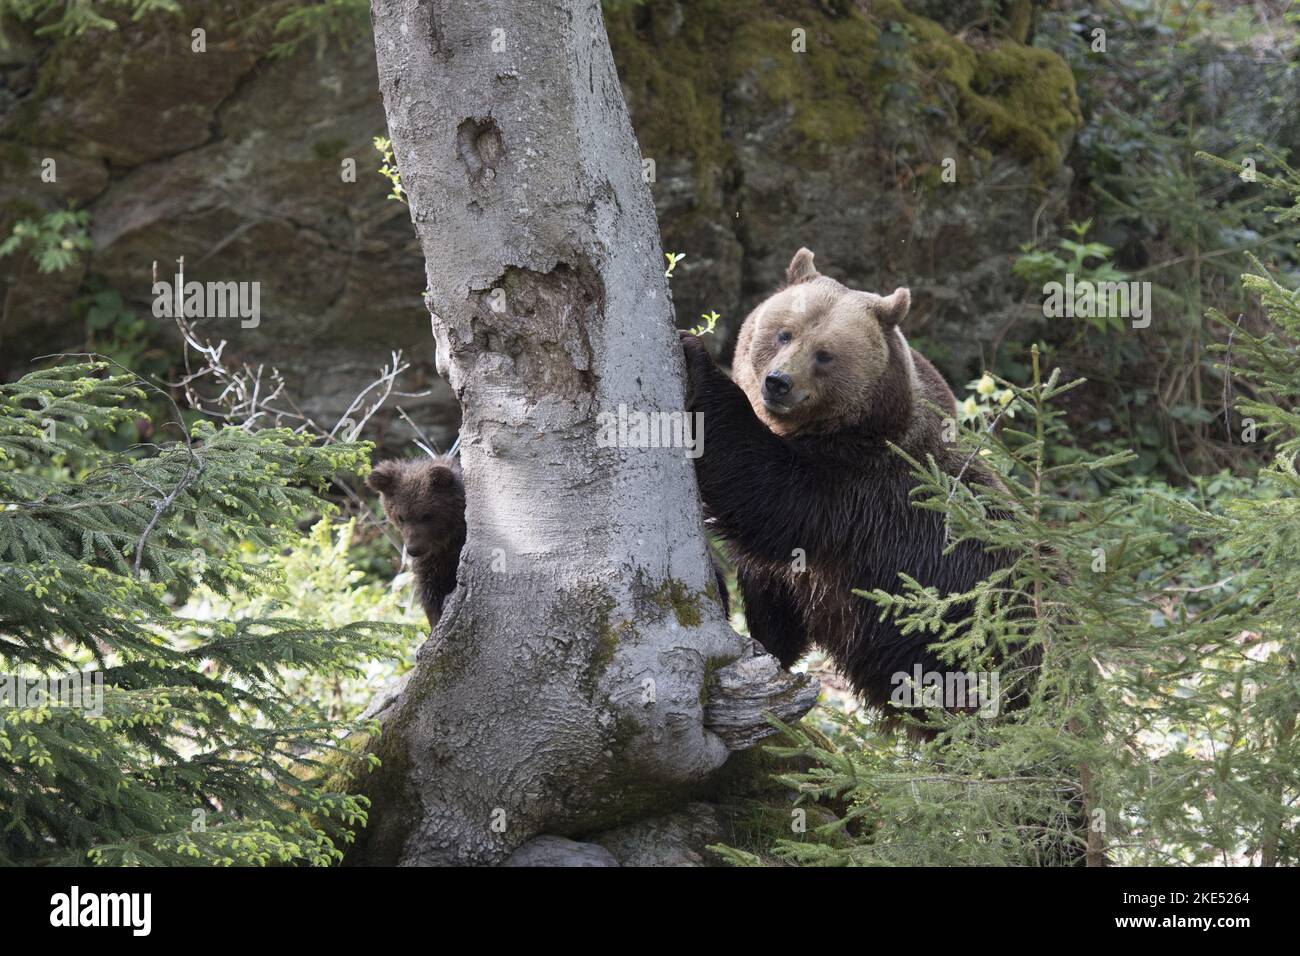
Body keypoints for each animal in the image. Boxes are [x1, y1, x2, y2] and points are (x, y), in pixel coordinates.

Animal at [366, 453, 466, 631]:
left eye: (427, 515)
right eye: (400, 516)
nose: (413, 549)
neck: (447, 540)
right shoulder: (432, 560)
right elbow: (430, 589)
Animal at [680, 247, 1027, 722]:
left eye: (825, 354)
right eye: (784, 333)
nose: (778, 382)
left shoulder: (857, 491)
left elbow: (761, 488)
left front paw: (695, 355)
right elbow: (774, 598)